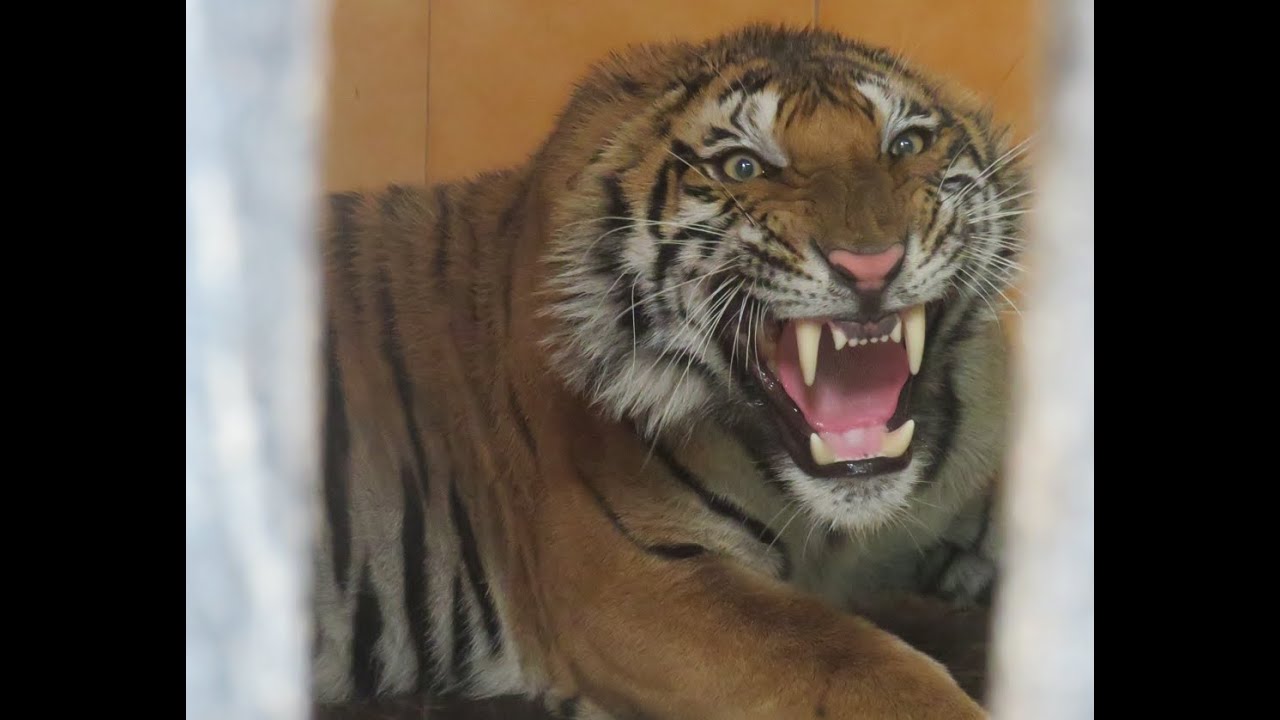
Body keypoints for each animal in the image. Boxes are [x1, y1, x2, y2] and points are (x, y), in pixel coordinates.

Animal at [313, 23, 1026, 720]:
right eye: (743, 165)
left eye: (906, 144)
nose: (870, 264)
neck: (840, 535)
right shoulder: (635, 580)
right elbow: (858, 664)